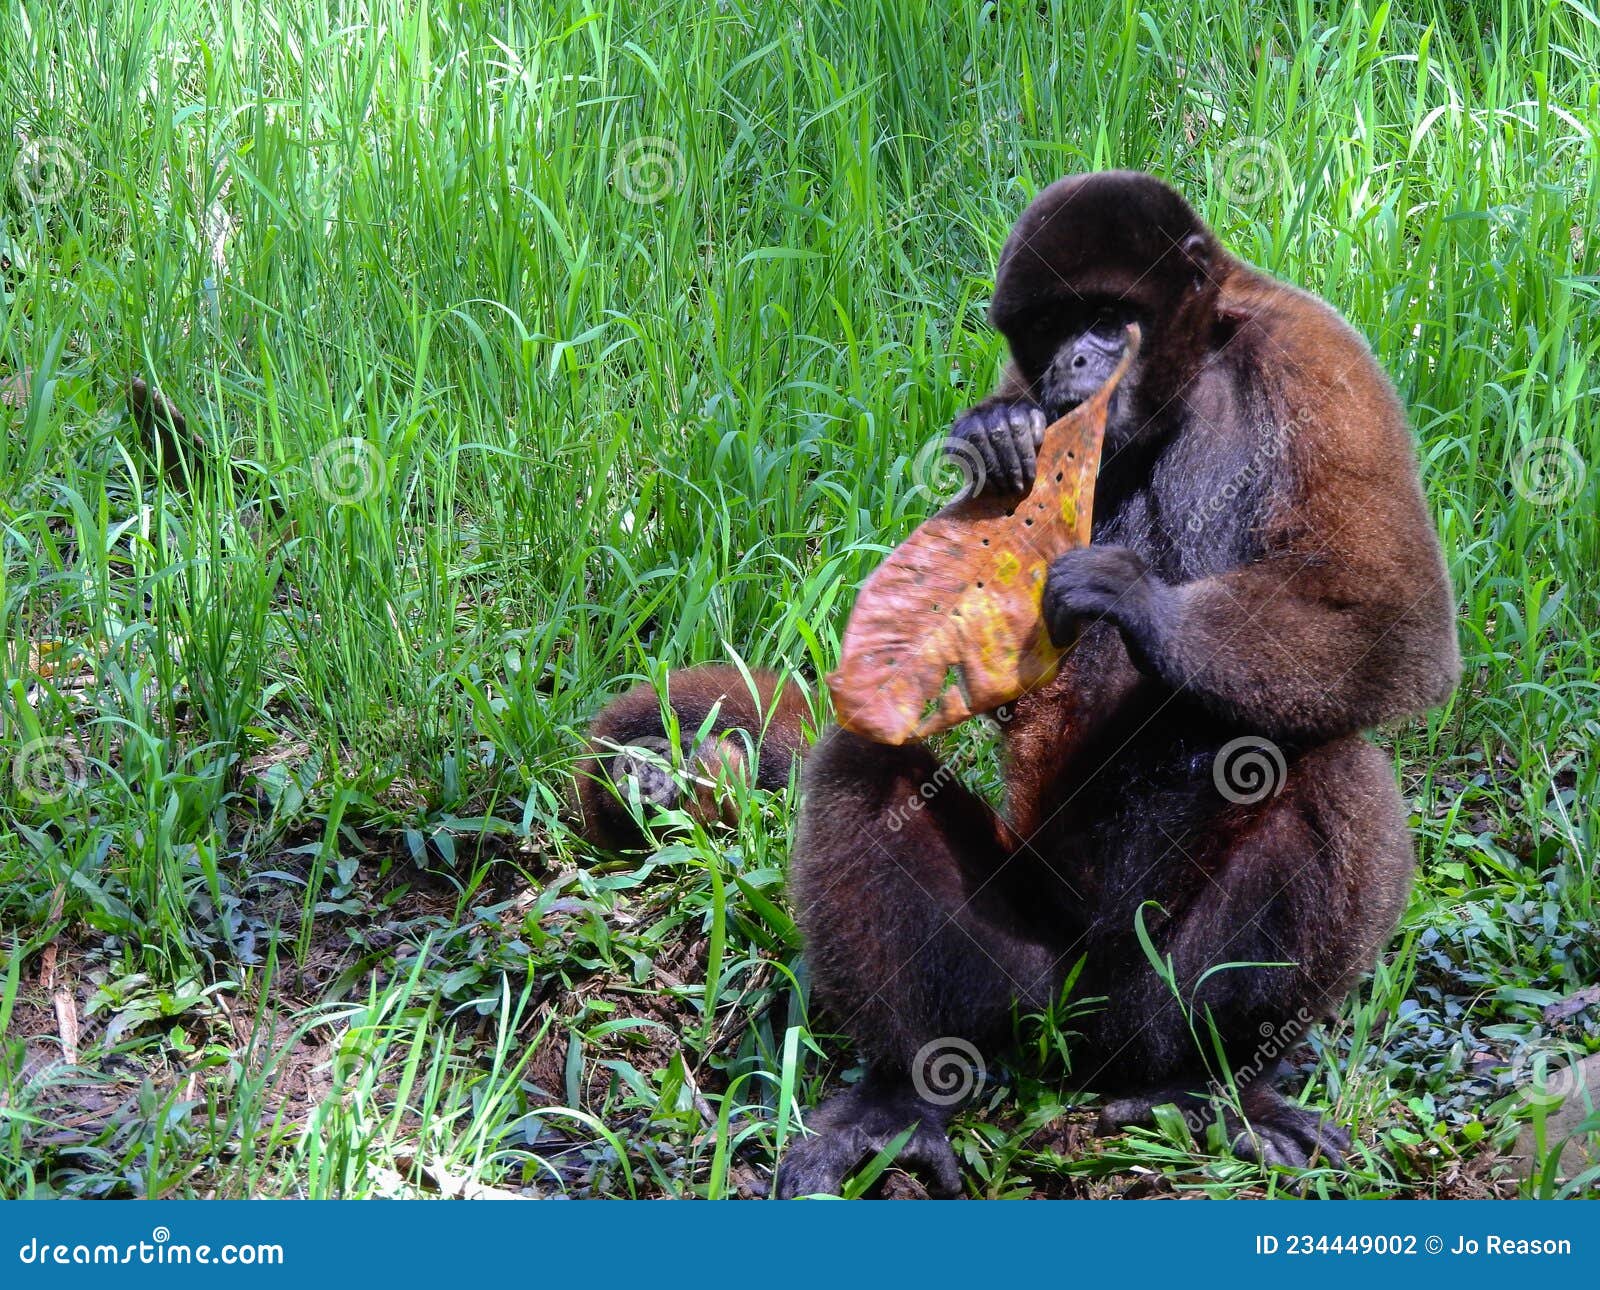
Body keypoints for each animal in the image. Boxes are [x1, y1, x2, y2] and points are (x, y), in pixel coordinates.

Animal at [579, 171, 1459, 1198]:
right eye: (1049, 328)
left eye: (1108, 319)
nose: (1076, 361)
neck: (1194, 376)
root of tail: (1089, 1025)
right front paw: (990, 431)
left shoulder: (1314, 355)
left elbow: (1394, 619)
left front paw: (1137, 602)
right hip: (1023, 972)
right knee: (864, 765)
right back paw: (906, 1092)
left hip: (1159, 993)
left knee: (1331, 765)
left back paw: (1219, 1086)